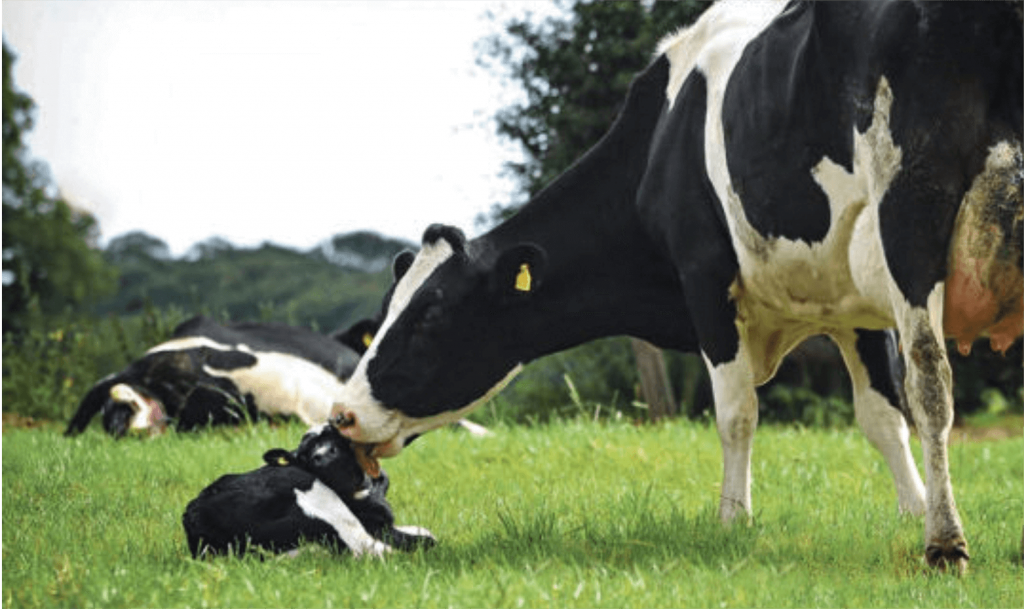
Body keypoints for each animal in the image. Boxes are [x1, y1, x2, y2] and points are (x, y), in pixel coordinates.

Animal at [183, 423, 435, 558]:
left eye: (338, 437)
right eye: (304, 454)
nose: (321, 456)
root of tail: (193, 511)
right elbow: (426, 537)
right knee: (372, 550)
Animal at [328, 0, 1023, 572]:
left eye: (431, 317)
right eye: (385, 313)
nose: (341, 414)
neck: (658, 146)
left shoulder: (706, 276)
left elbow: (738, 413)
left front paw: (733, 521)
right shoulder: (847, 298)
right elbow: (881, 417)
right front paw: (911, 510)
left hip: (913, 212)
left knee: (931, 381)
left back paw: (946, 544)